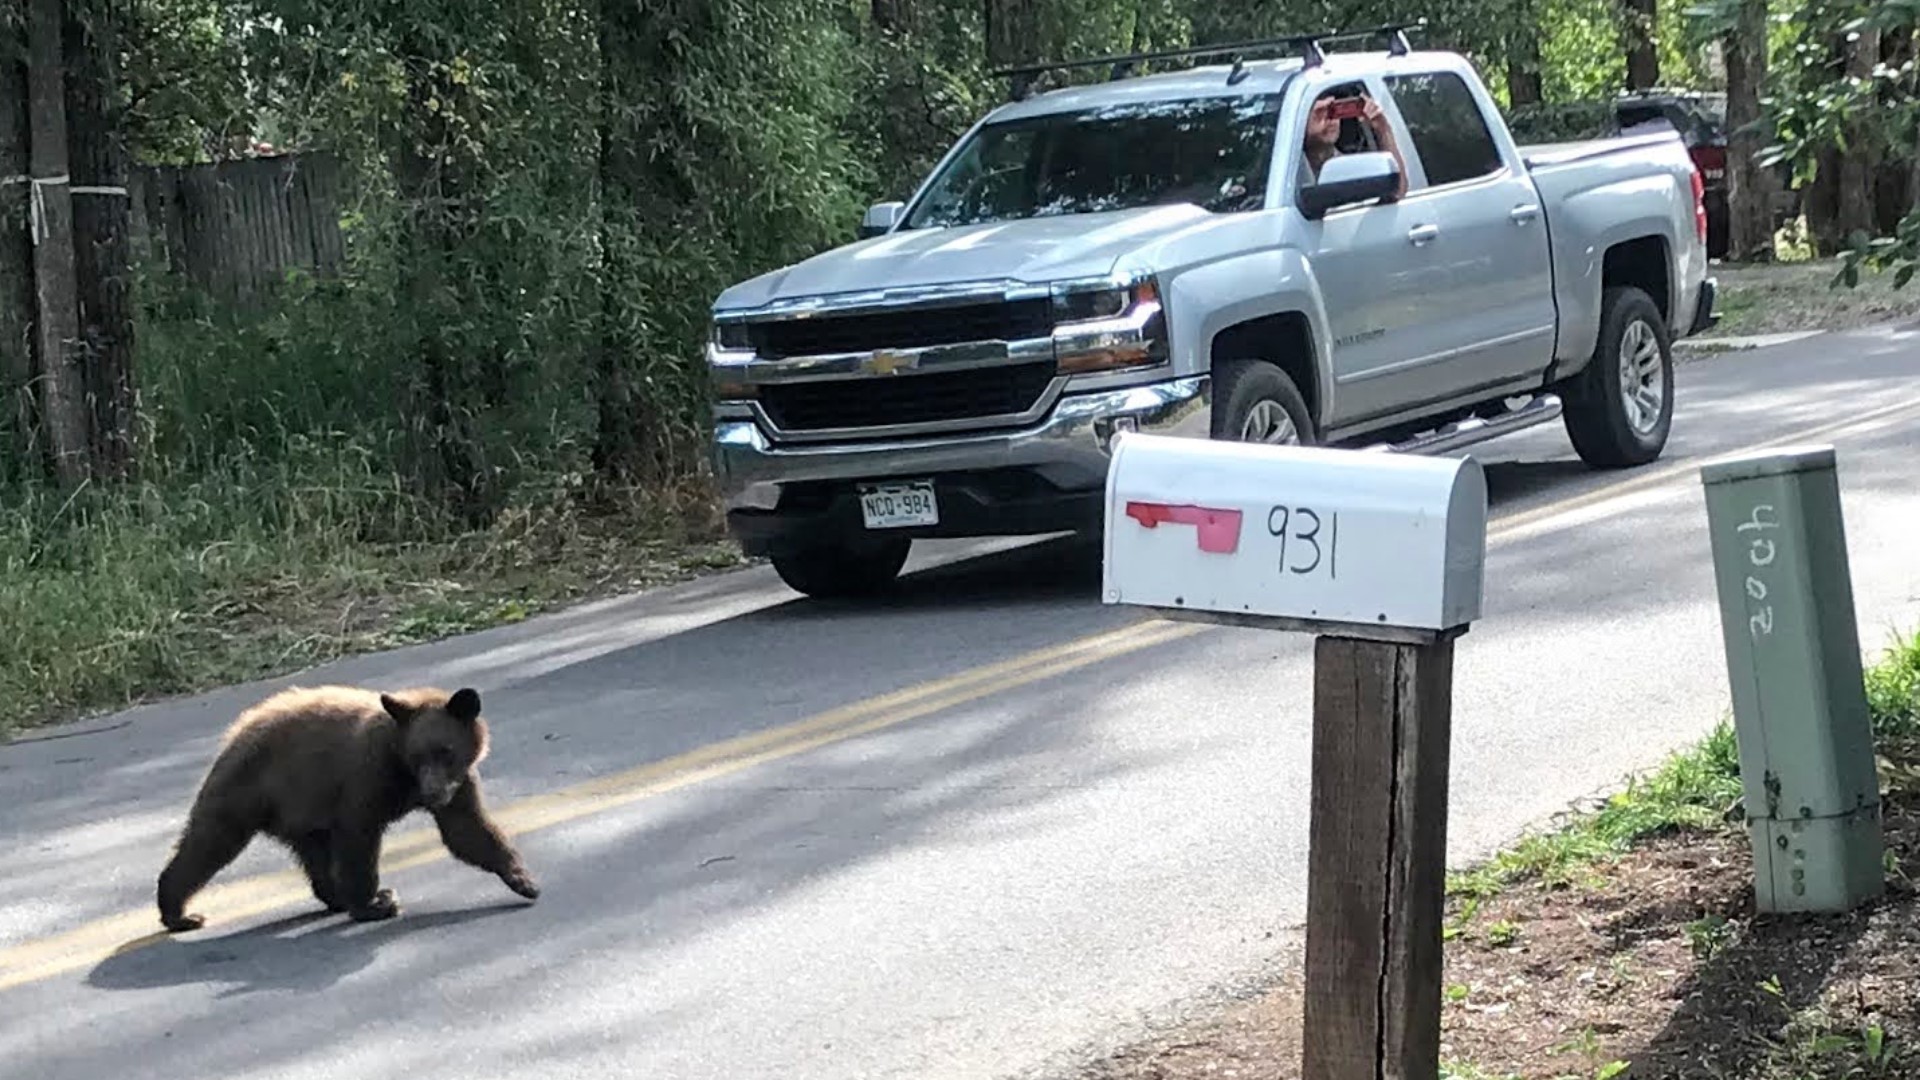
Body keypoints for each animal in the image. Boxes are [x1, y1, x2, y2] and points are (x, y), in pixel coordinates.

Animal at [156, 683, 539, 932]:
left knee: (315, 856)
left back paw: (334, 896)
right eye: (418, 755)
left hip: (301, 811)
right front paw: (373, 904)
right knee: (209, 843)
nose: (431, 793)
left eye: (445, 751)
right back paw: (179, 914)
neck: (401, 767)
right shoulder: (366, 776)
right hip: (248, 791)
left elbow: (467, 830)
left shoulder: (459, 785)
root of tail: (235, 733)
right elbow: (359, 834)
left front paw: (523, 881)